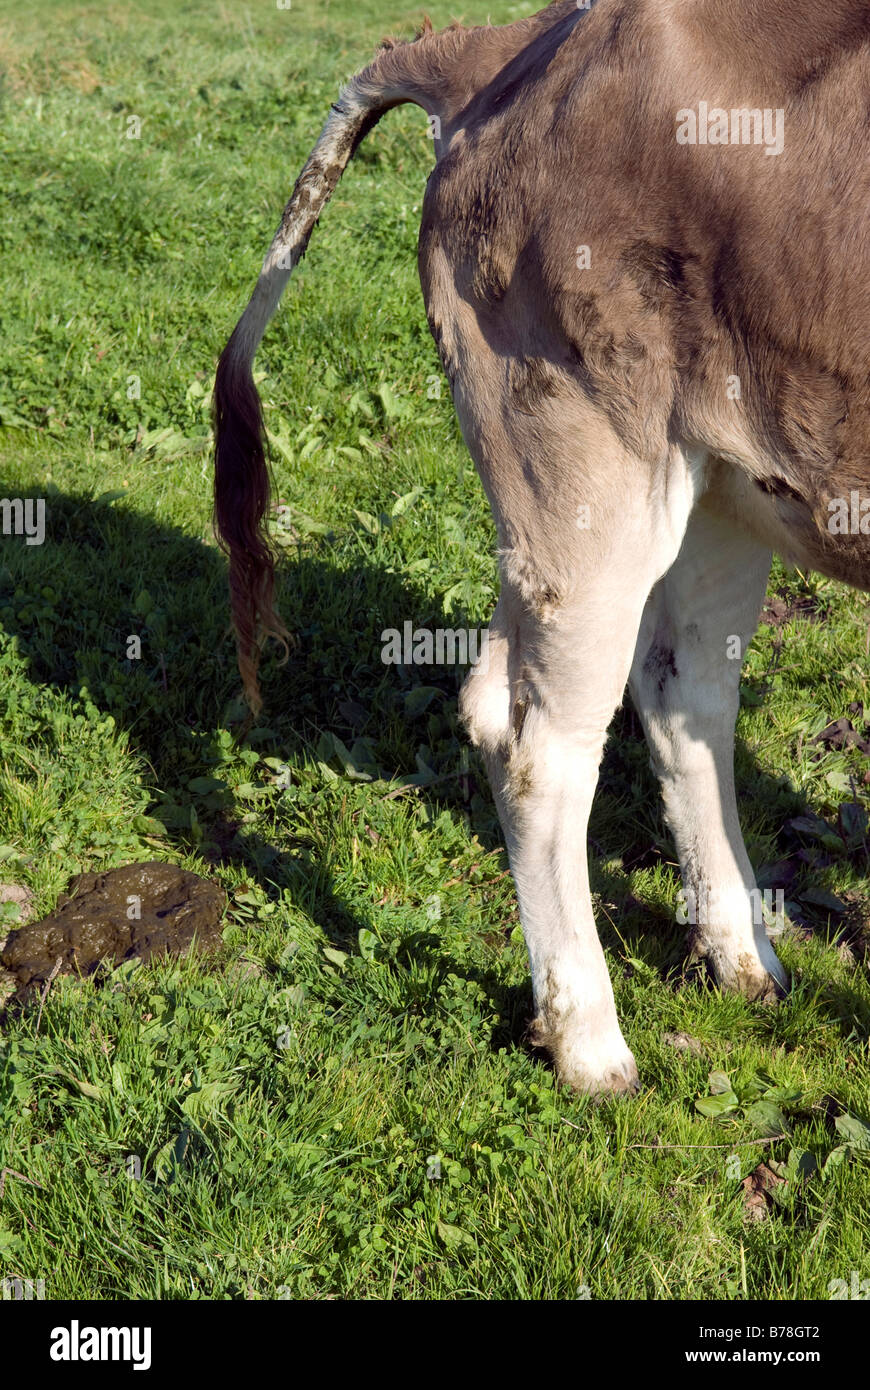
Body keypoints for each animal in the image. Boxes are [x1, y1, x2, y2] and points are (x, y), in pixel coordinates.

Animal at [213, 0, 870, 1094]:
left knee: (683, 690)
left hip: (725, 482)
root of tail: (524, 38)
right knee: (536, 738)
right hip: (582, 466)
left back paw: (741, 956)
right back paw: (589, 1040)